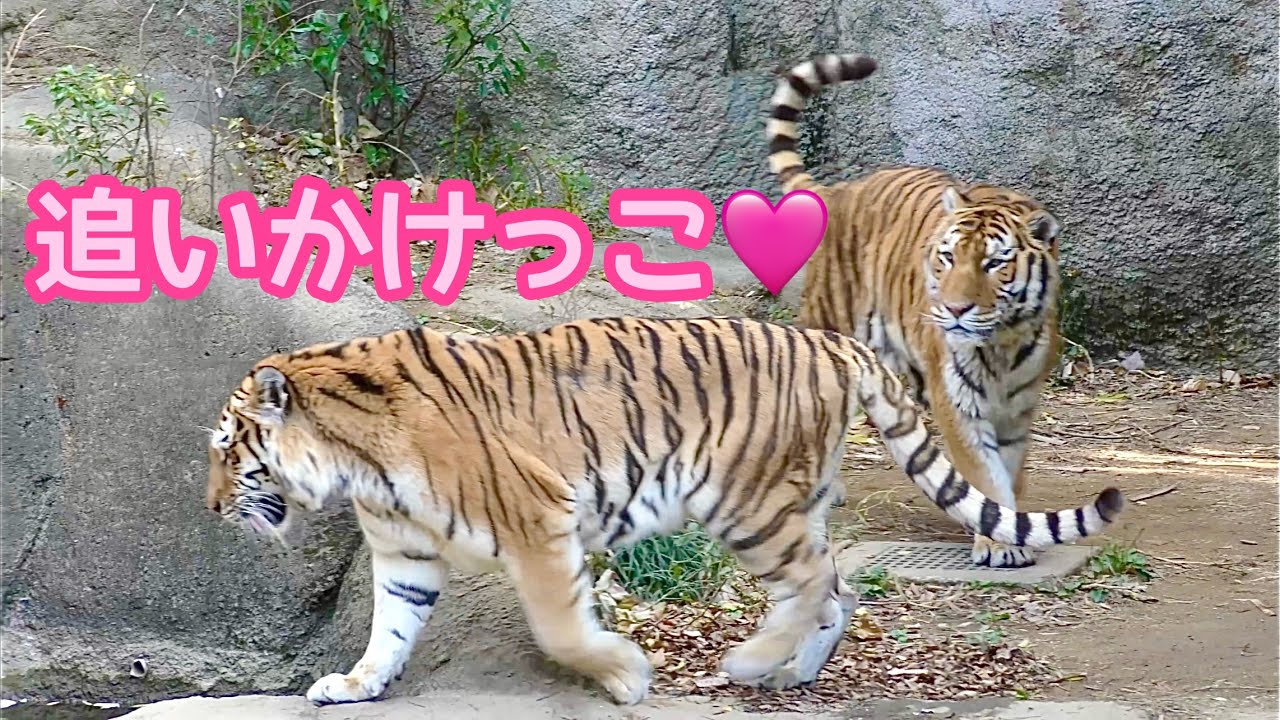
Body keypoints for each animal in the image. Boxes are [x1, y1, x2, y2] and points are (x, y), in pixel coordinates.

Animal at [205, 317, 1123, 706]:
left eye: (225, 445)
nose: (211, 507)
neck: (355, 464)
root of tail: (833, 340)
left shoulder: (538, 520)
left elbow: (559, 628)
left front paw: (624, 675)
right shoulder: (406, 554)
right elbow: (389, 629)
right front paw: (354, 685)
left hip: (746, 500)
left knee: (812, 584)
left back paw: (750, 664)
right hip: (794, 501)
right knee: (838, 588)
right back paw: (790, 674)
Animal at [765, 53, 1067, 569]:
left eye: (994, 263)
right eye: (947, 257)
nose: (955, 308)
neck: (1004, 340)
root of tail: (843, 190)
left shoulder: (1019, 406)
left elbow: (1008, 470)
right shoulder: (960, 404)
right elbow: (984, 472)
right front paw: (998, 542)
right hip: (830, 330)